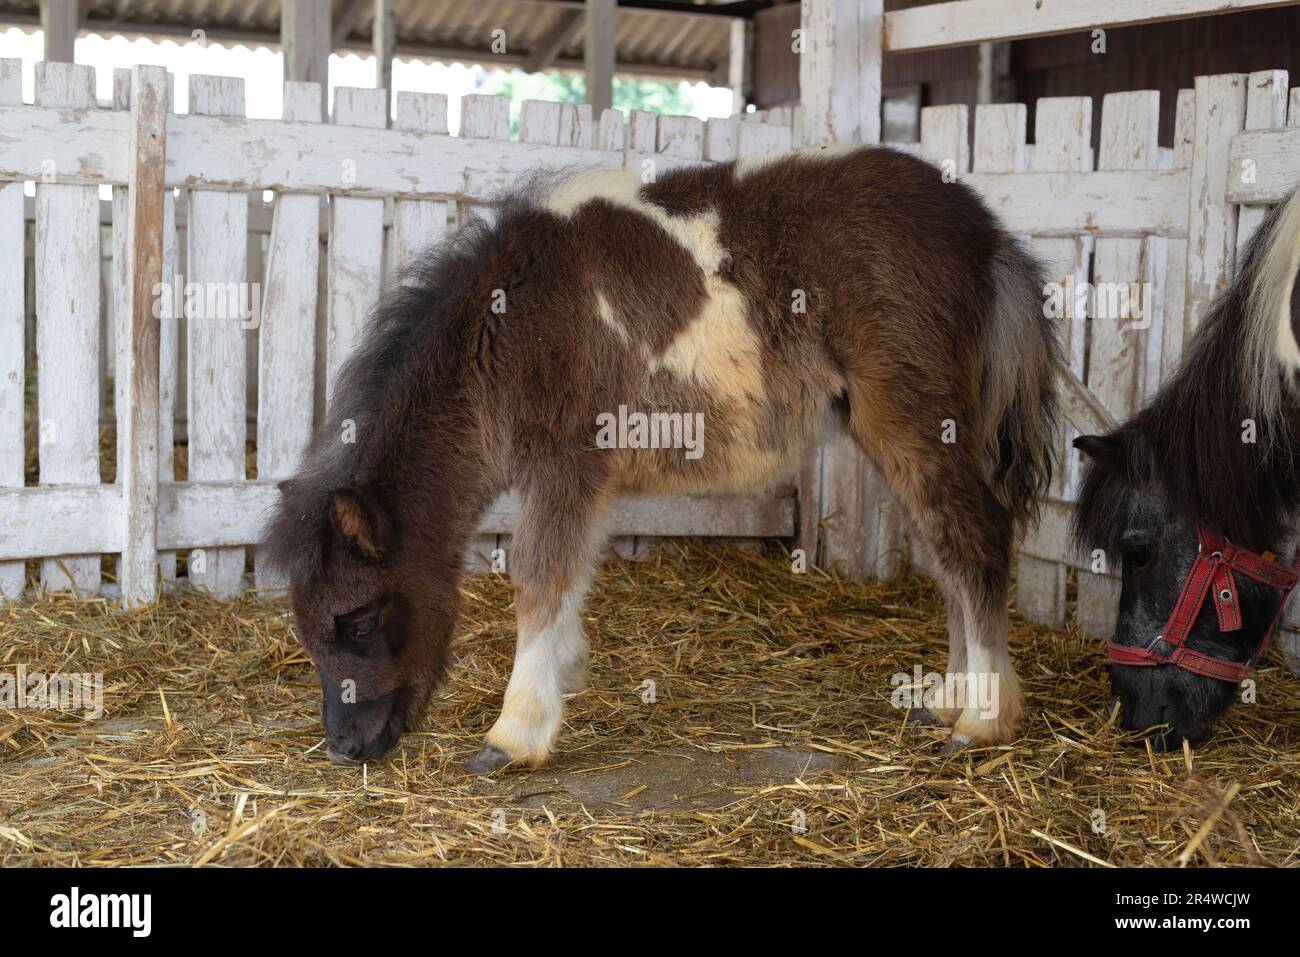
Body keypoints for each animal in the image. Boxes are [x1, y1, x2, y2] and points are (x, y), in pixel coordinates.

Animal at [263, 145, 1061, 771]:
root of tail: (985, 232)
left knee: (974, 539)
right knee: (945, 550)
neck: (511, 322)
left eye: (360, 620)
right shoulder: (581, 474)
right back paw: (951, 697)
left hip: (916, 414)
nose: (346, 749)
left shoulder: (566, 459)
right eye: (306, 628)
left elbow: (540, 576)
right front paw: (562, 679)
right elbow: (570, 577)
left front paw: (513, 733)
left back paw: (984, 719)